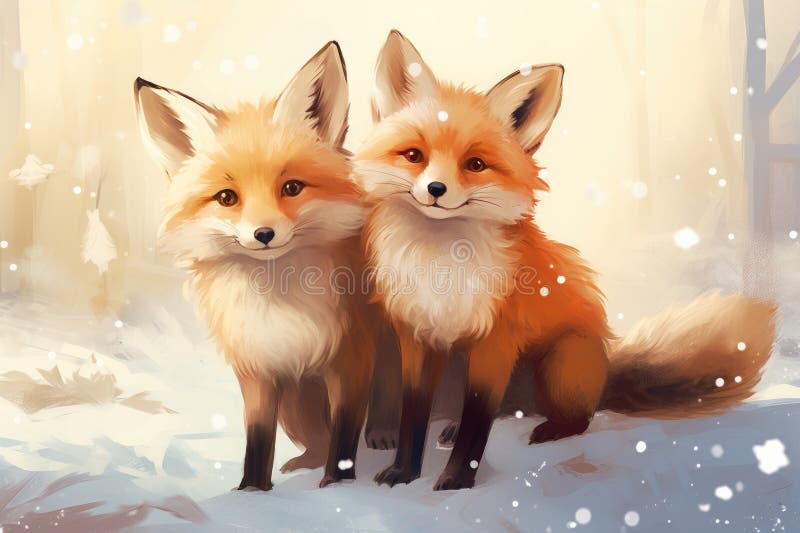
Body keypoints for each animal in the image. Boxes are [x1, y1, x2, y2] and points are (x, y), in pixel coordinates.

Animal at [134, 42, 388, 490]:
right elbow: (257, 438)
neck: (279, 302)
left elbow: (343, 437)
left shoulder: (351, 359)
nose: (264, 234)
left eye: (292, 187)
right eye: (227, 198)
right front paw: (252, 491)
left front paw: (337, 488)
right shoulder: (258, 367)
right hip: (296, 405)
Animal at [355, 30, 777, 491]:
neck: (441, 265)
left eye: (475, 164)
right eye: (414, 155)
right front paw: (403, 471)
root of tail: (607, 371)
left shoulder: (495, 344)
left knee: (575, 418)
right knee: (504, 409)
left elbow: (477, 424)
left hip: (561, 362)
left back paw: (549, 429)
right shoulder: (416, 338)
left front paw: (457, 480)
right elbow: (414, 415)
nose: (435, 189)